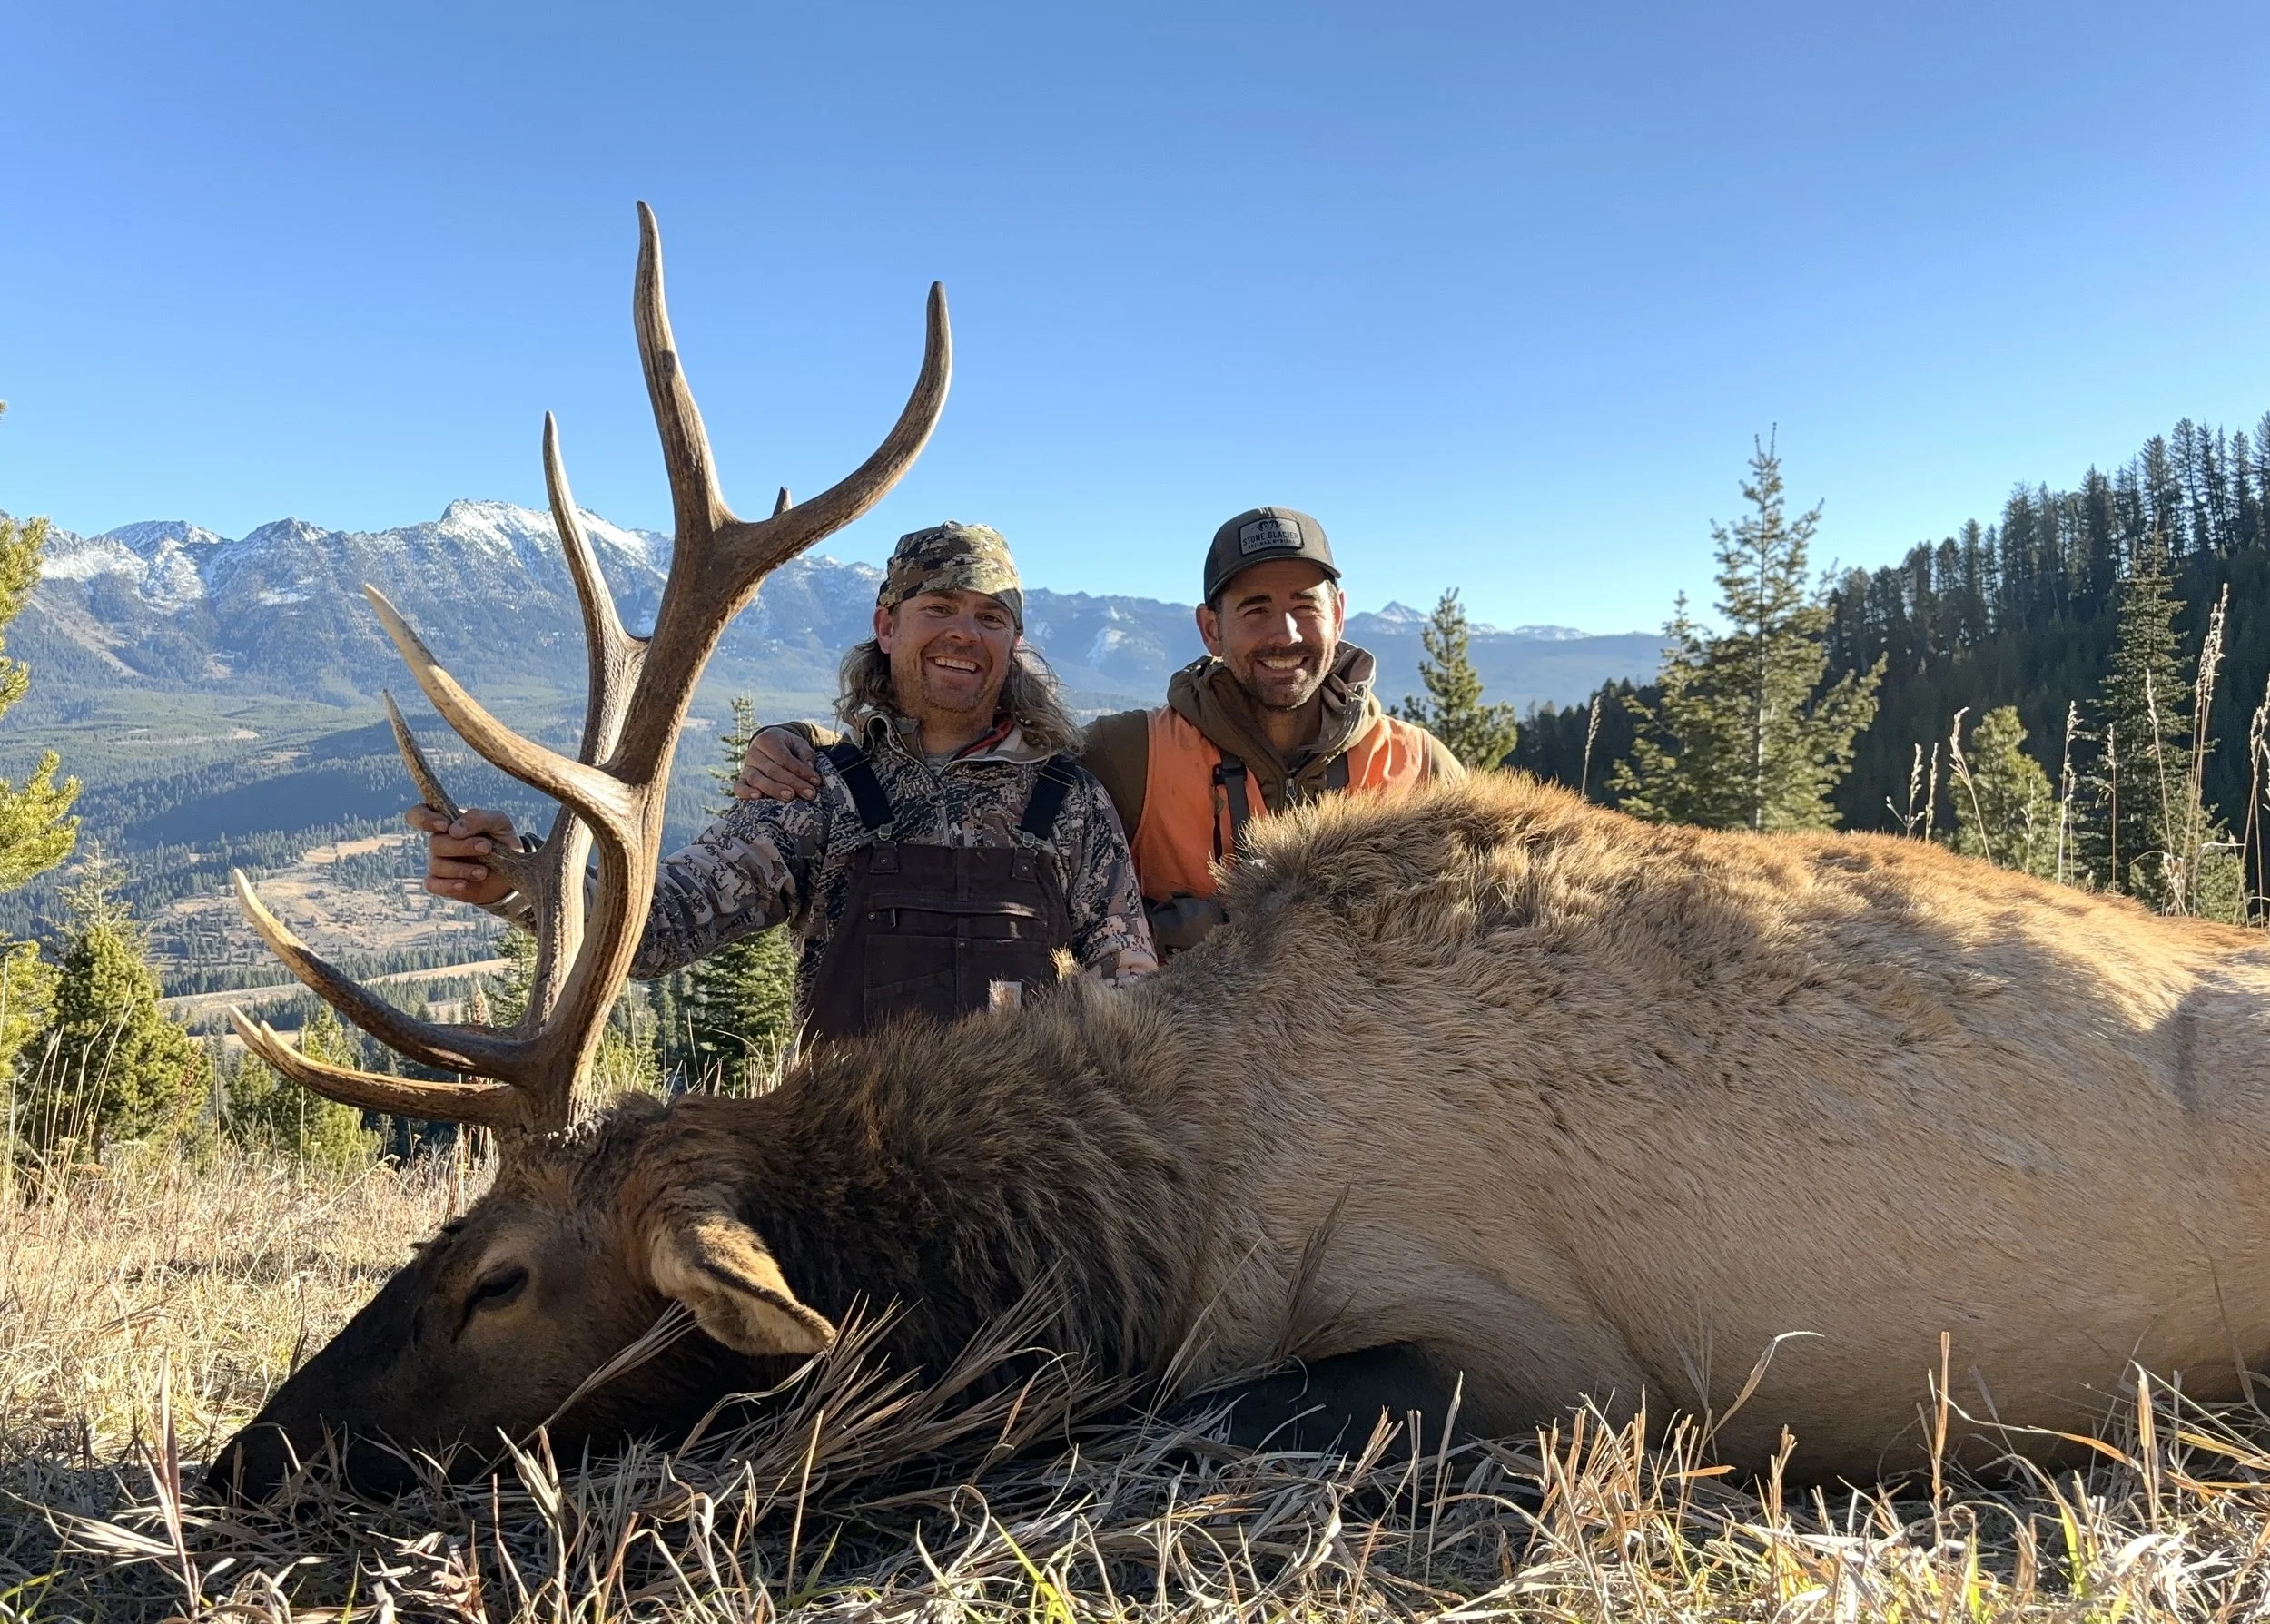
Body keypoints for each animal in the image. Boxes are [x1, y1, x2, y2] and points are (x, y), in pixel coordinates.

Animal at [210, 205, 2270, 1504]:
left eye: (502, 1279)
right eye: (440, 1236)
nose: (250, 1455)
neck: (1155, 1204)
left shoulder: (1545, 1357)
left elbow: (1189, 1418)